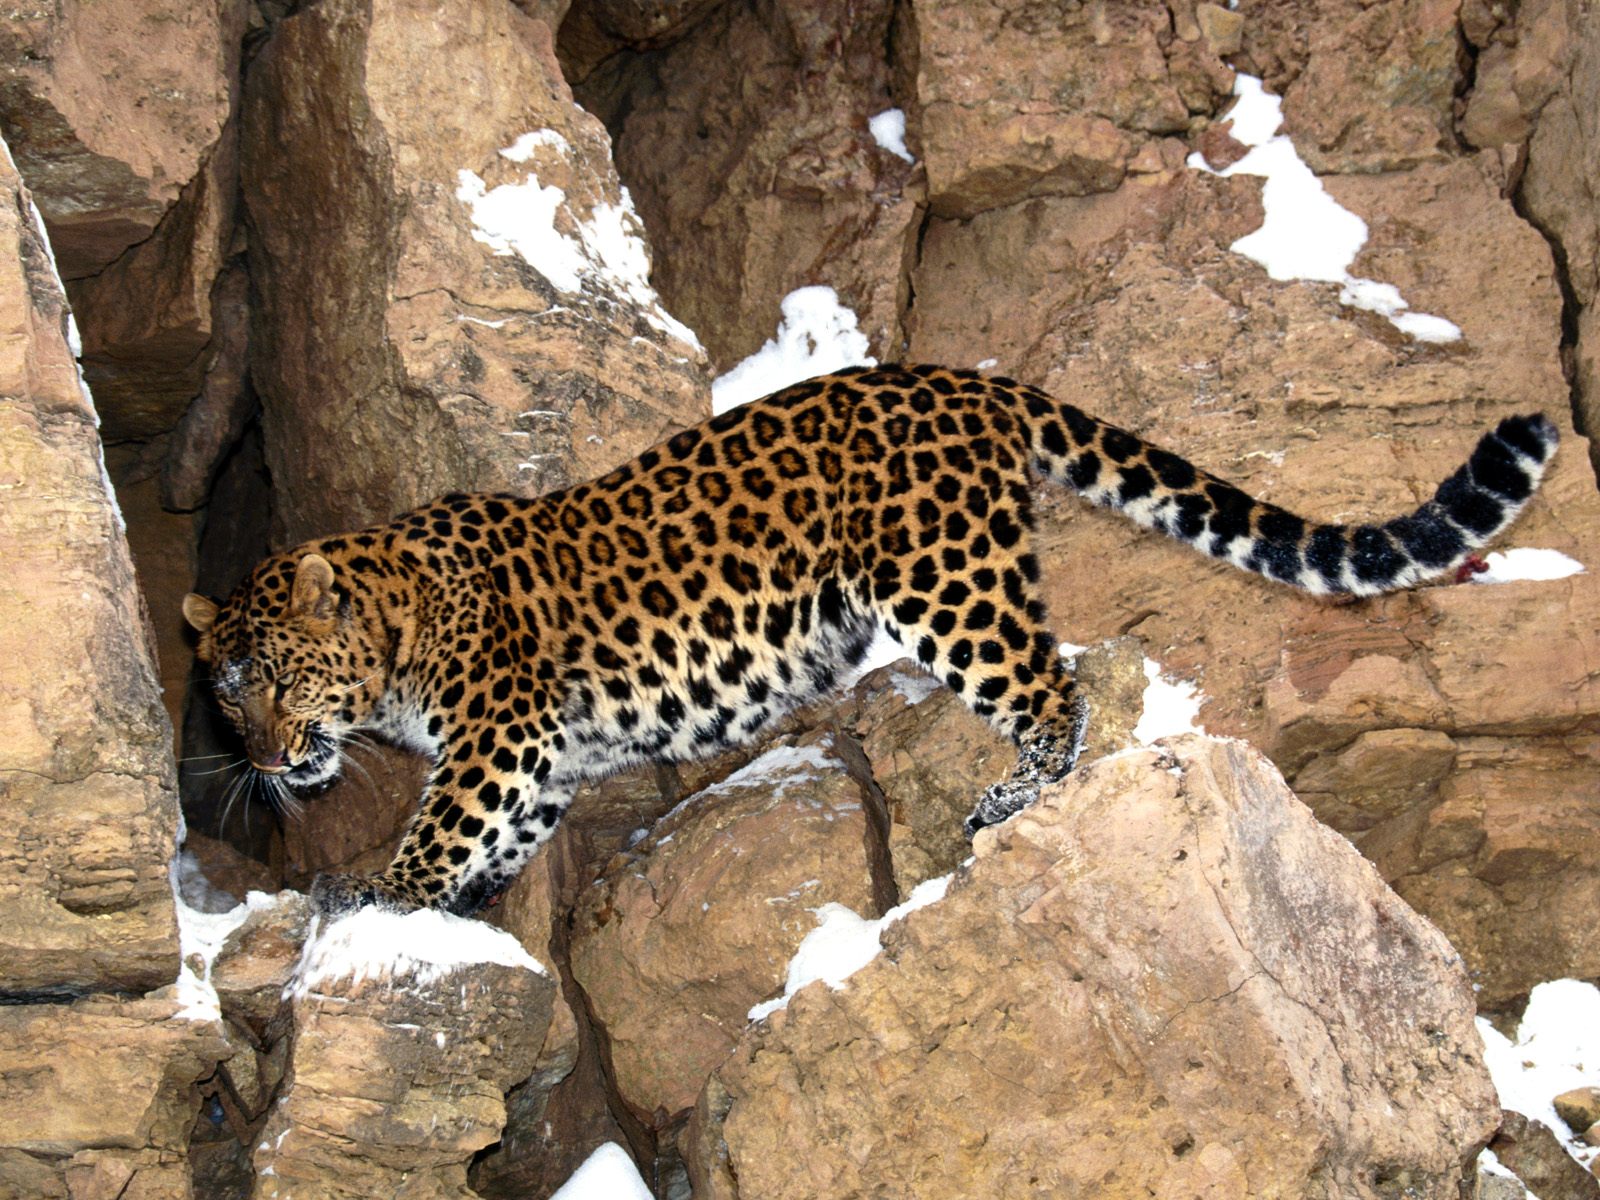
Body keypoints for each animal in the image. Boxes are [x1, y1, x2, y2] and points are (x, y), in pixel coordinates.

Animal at [182, 364, 1559, 917]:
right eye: (227, 700)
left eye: (277, 680)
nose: (264, 762)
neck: (396, 625)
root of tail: (966, 379)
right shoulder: (547, 756)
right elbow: (500, 836)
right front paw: (455, 907)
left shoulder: (501, 728)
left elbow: (443, 823)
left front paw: (378, 892)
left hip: (940, 579)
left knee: (1054, 685)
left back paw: (1013, 797)